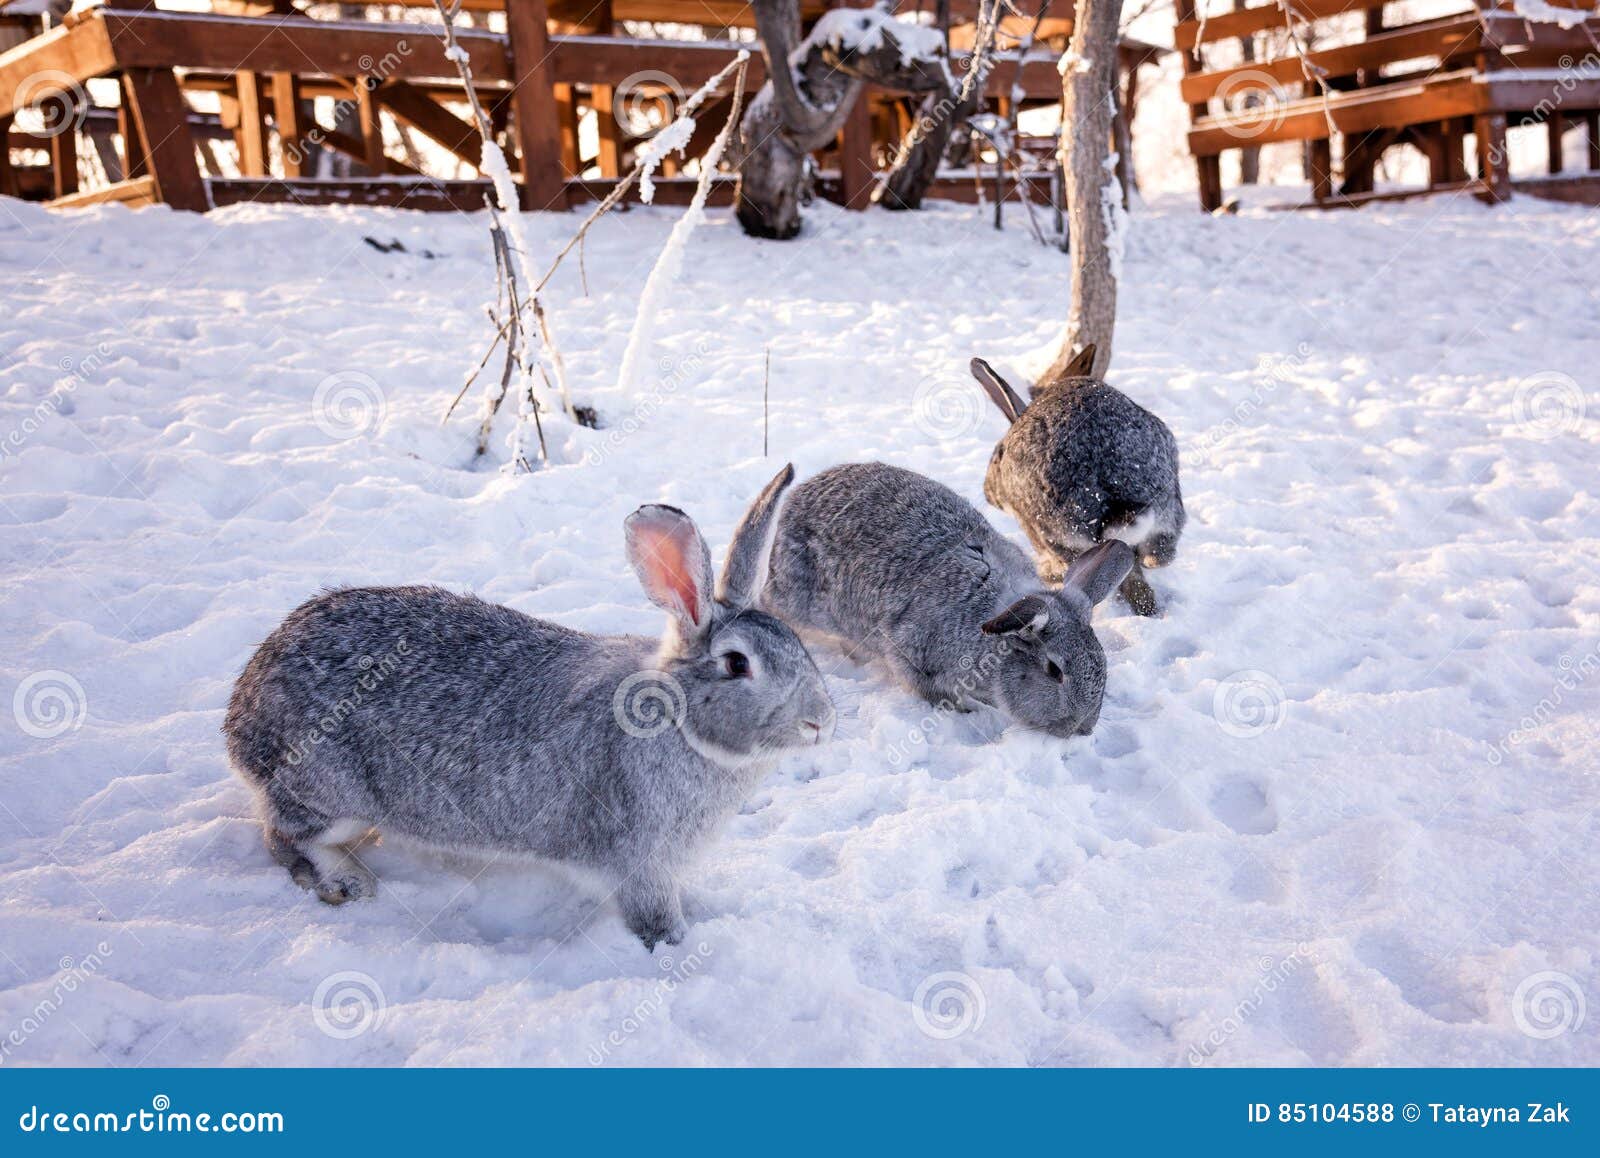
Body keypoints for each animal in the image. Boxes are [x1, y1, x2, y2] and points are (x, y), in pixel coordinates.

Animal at [223, 464, 834, 951]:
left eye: (797, 645)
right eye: (737, 664)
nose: (821, 720)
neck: (676, 718)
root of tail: (242, 714)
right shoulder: (639, 864)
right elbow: (654, 918)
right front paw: (676, 947)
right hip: (331, 792)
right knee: (285, 837)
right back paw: (348, 883)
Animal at [763, 462, 1133, 740]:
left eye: (1102, 665)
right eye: (1054, 671)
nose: (1083, 728)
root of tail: (796, 499)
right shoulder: (909, 653)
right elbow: (930, 691)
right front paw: (967, 710)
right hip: (799, 599)